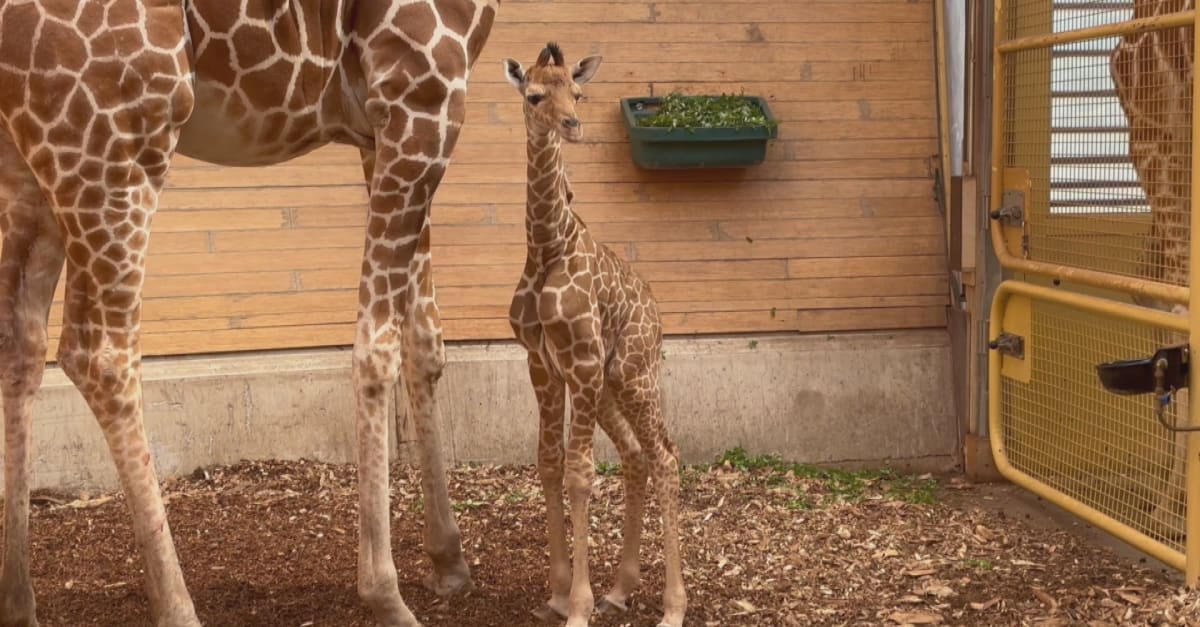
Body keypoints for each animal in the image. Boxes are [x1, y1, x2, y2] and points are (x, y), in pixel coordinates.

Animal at [0, 2, 498, 626]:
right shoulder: (422, 85)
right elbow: (376, 348)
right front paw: (385, 593)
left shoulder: (389, 121)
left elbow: (424, 342)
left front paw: (449, 562)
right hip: (117, 125)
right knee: (99, 354)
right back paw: (178, 607)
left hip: (30, 155)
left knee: (20, 343)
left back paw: (20, 602)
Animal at [503, 43, 687, 627]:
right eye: (534, 95)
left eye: (579, 93)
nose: (573, 125)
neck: (547, 246)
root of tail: (657, 311)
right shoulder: (543, 365)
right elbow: (548, 463)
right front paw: (561, 595)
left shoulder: (581, 362)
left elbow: (580, 472)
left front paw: (579, 606)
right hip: (608, 388)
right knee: (636, 455)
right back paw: (620, 589)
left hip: (631, 373)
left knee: (666, 455)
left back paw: (673, 607)